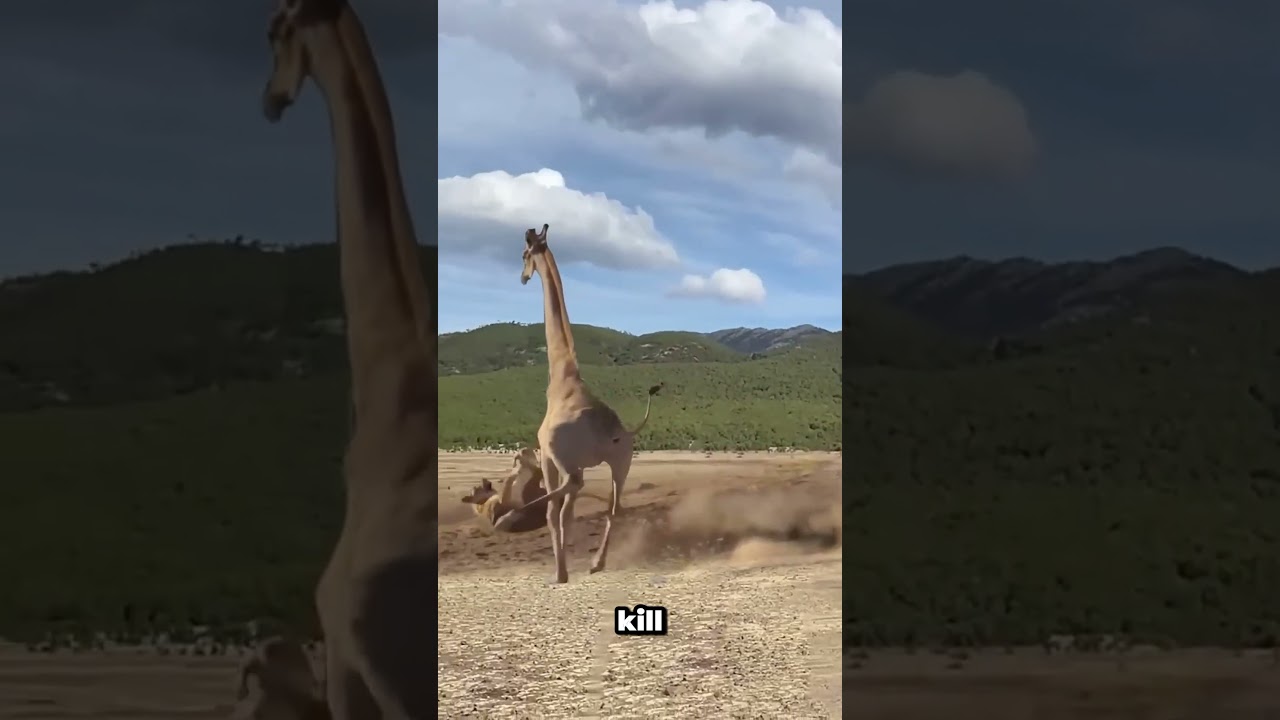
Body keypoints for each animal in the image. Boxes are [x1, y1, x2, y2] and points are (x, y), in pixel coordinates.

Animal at [492, 225, 662, 584]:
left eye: (524, 254)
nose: (522, 277)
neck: (561, 376)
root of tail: (616, 430)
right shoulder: (582, 462)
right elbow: (567, 513)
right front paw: (566, 568)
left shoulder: (548, 454)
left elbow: (555, 512)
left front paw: (560, 571)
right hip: (622, 463)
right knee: (613, 507)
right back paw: (596, 563)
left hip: (568, 461)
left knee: (570, 498)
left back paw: (511, 524)